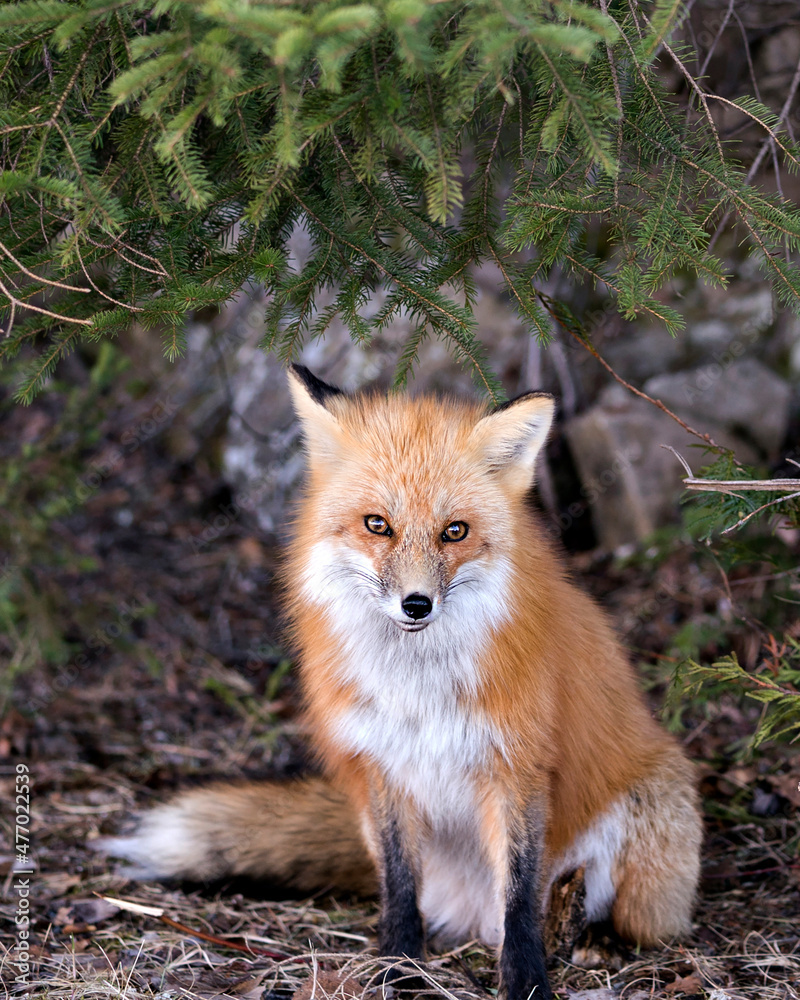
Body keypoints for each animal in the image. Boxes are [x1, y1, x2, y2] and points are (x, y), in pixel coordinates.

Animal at [98, 364, 702, 1000]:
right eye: (377, 525)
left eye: (454, 531)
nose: (417, 604)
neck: (417, 691)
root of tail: (470, 918)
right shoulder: (382, 765)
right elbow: (399, 885)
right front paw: (400, 966)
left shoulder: (517, 766)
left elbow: (519, 896)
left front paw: (525, 980)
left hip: (648, 824)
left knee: (631, 919)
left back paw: (595, 941)